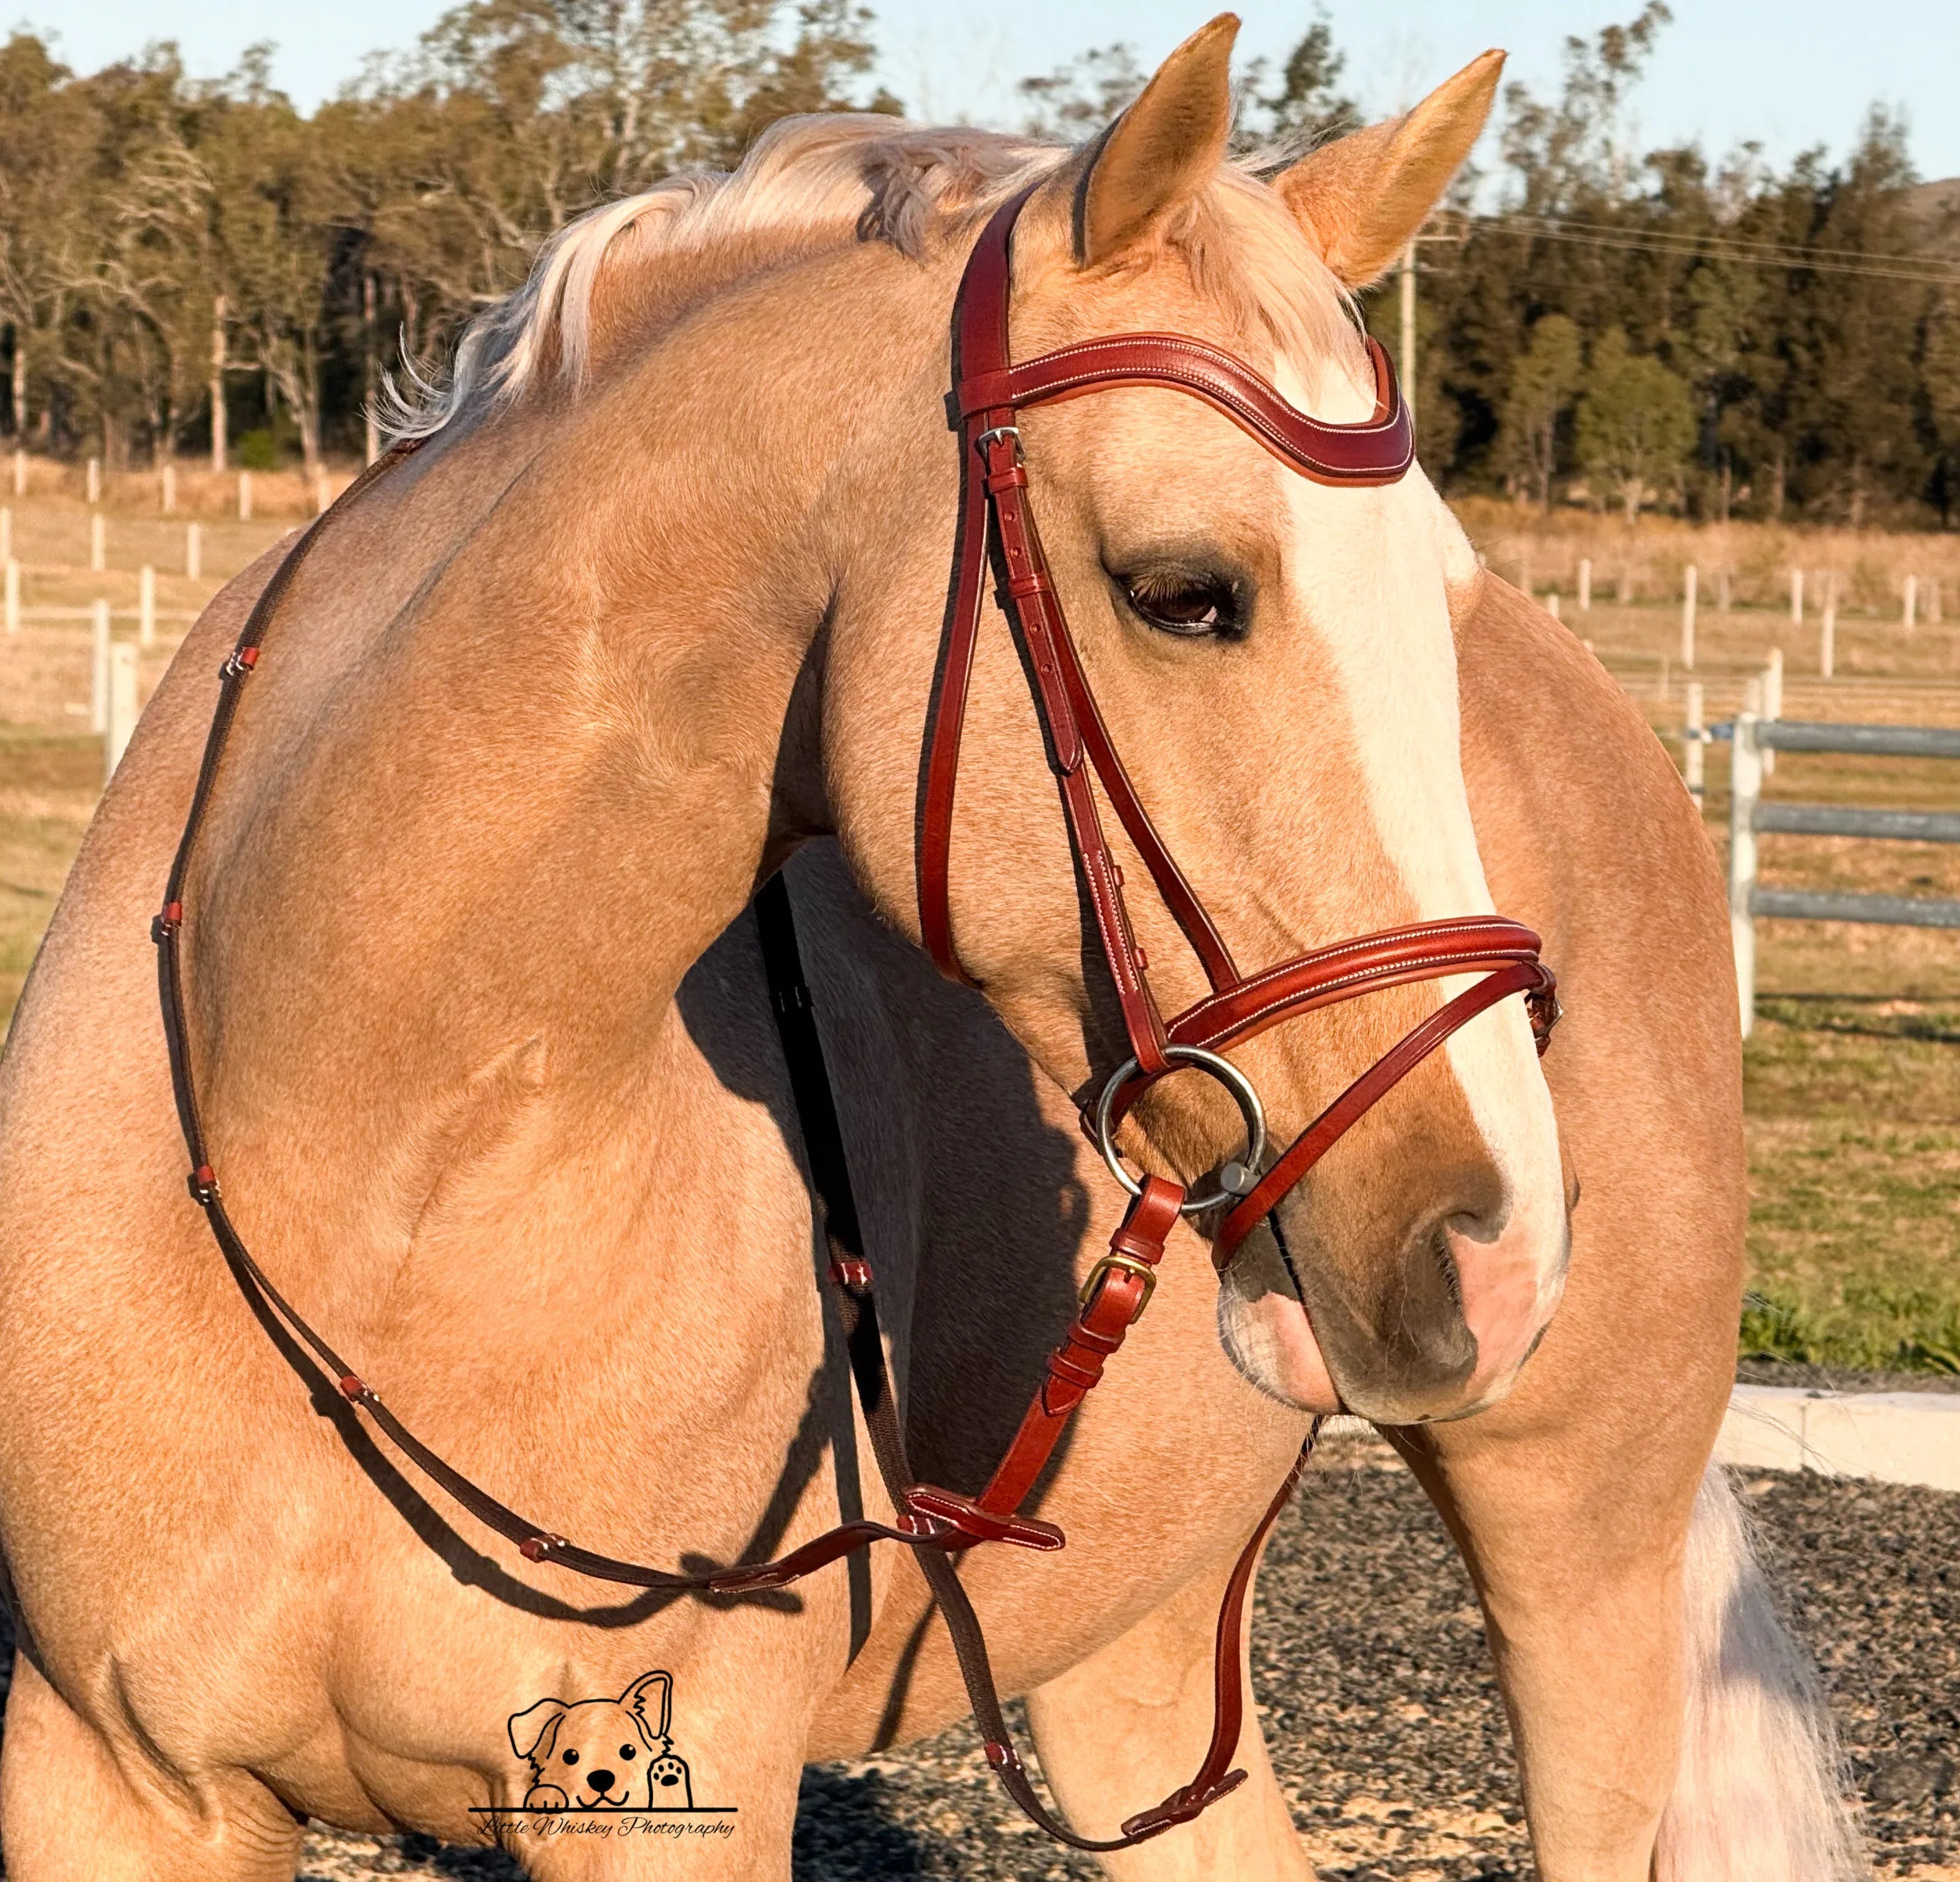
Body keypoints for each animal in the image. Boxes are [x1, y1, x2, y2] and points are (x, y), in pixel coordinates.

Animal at [0, 18, 1860, 1879]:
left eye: (1439, 597)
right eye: (1183, 591)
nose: (1497, 1247)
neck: (374, 1150)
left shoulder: (680, 1798)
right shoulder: (106, 1772)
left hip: (1576, 1550)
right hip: (1134, 1639)